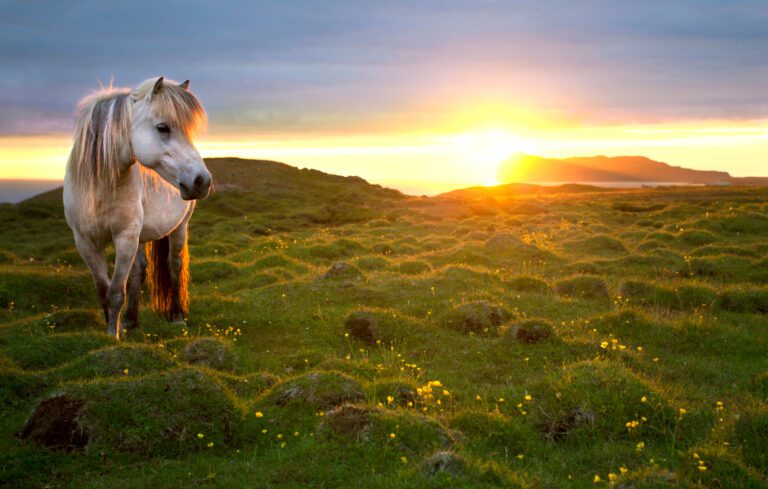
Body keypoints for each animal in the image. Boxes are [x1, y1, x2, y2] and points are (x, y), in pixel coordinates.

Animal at [63, 77, 211, 339]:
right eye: (163, 127)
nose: (202, 180)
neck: (101, 188)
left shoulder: (126, 237)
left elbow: (115, 292)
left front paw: (113, 337)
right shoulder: (85, 242)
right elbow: (103, 290)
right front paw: (111, 329)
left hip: (179, 227)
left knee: (173, 265)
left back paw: (176, 315)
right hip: (141, 236)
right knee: (140, 271)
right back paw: (131, 320)